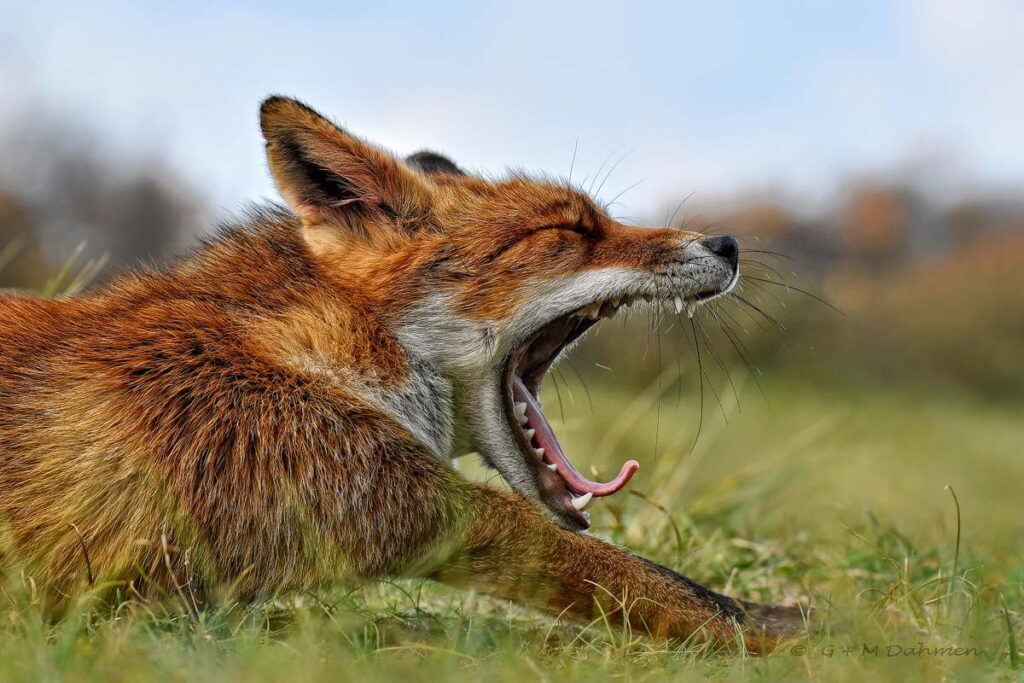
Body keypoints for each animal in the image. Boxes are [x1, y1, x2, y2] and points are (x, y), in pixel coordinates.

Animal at [0, 96, 806, 652]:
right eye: (569, 231)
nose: (728, 243)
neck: (312, 356)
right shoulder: (416, 506)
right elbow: (657, 583)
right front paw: (804, 639)